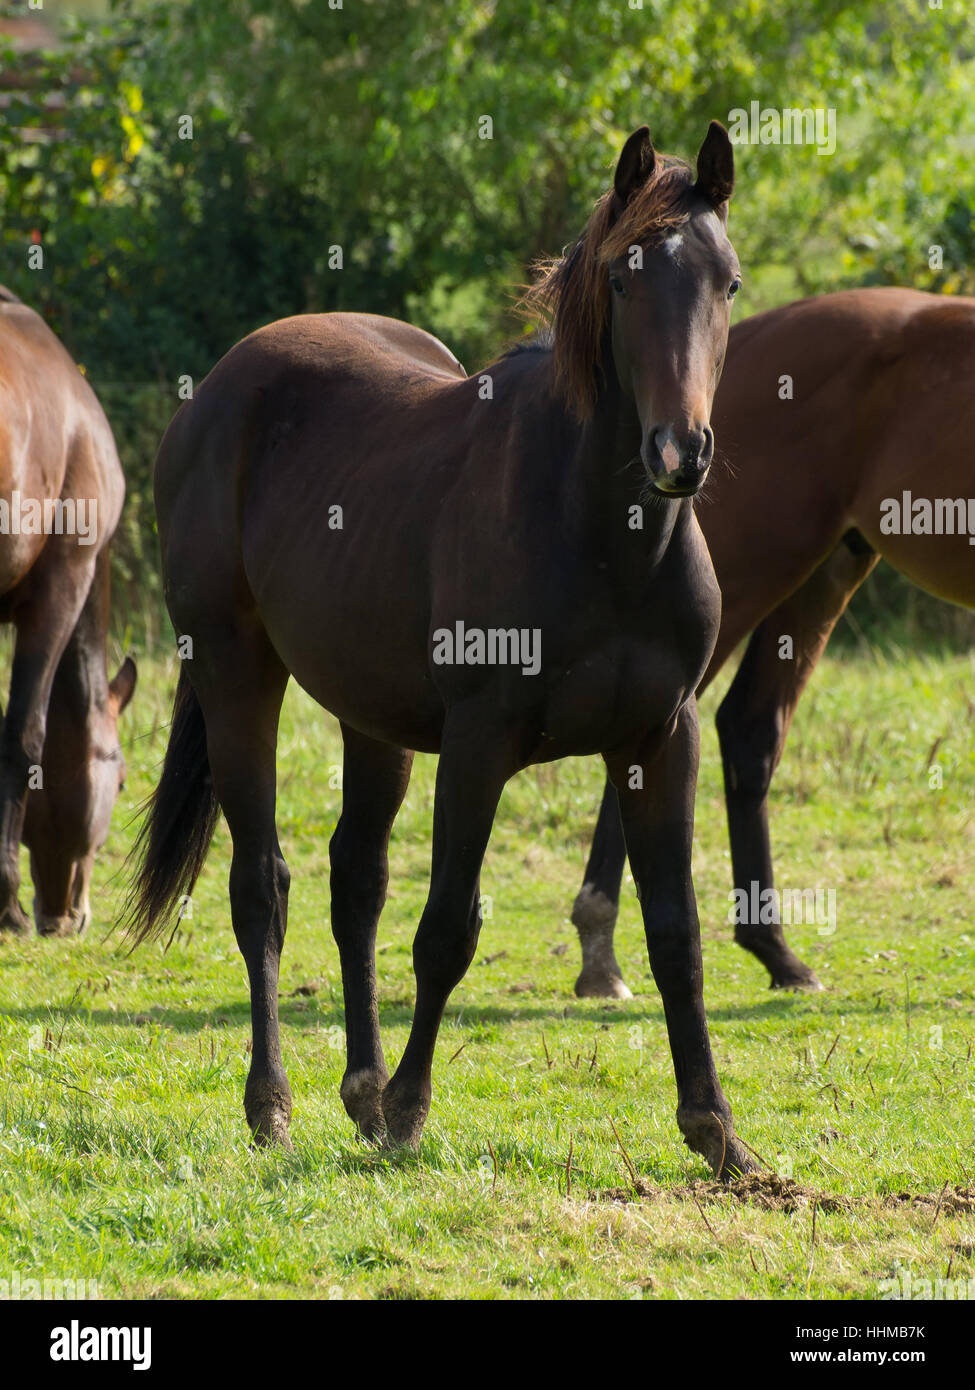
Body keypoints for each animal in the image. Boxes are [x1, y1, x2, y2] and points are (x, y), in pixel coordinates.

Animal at [122, 123, 757, 1179]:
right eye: (623, 281)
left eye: (728, 282)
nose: (681, 454)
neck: (601, 533)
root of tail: (217, 390)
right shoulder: (478, 744)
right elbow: (447, 930)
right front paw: (413, 1110)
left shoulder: (661, 739)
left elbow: (677, 934)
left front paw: (717, 1133)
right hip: (235, 672)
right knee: (262, 886)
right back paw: (274, 1105)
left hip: (368, 716)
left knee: (355, 885)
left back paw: (359, 1091)